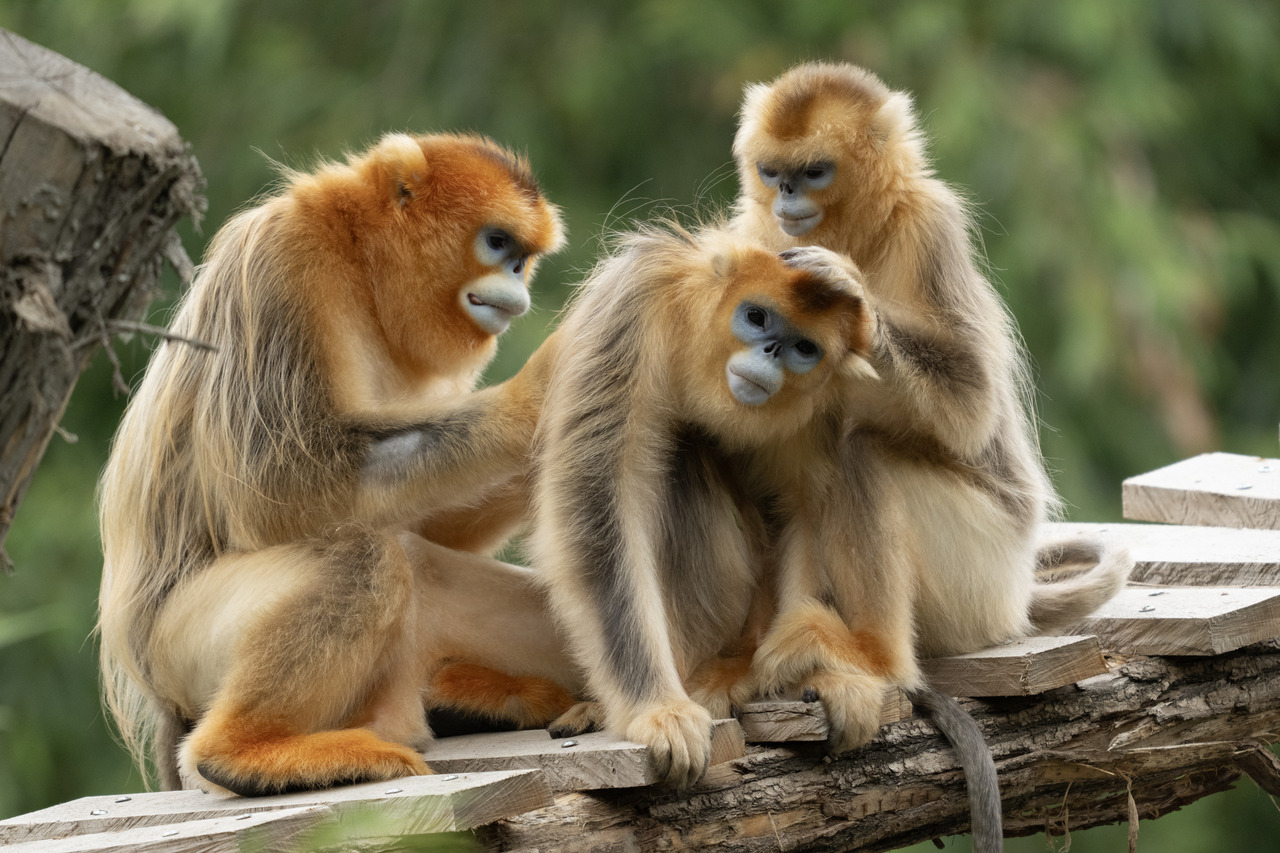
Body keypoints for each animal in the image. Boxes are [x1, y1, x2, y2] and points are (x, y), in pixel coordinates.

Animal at [97, 131, 579, 797]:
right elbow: (278, 488)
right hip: (179, 649)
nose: (516, 280)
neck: (361, 270)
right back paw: (243, 752)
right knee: (361, 557)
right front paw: (541, 389)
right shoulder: (283, 259)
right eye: (498, 243)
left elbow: (434, 524)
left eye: (523, 258)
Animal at [729, 62, 1130, 773]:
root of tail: (1015, 593)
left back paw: (876, 660)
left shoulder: (930, 223)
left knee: (861, 453)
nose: (786, 199)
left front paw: (854, 298)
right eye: (772, 173)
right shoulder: (757, 243)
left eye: (814, 173)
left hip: (982, 571)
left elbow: (971, 407)